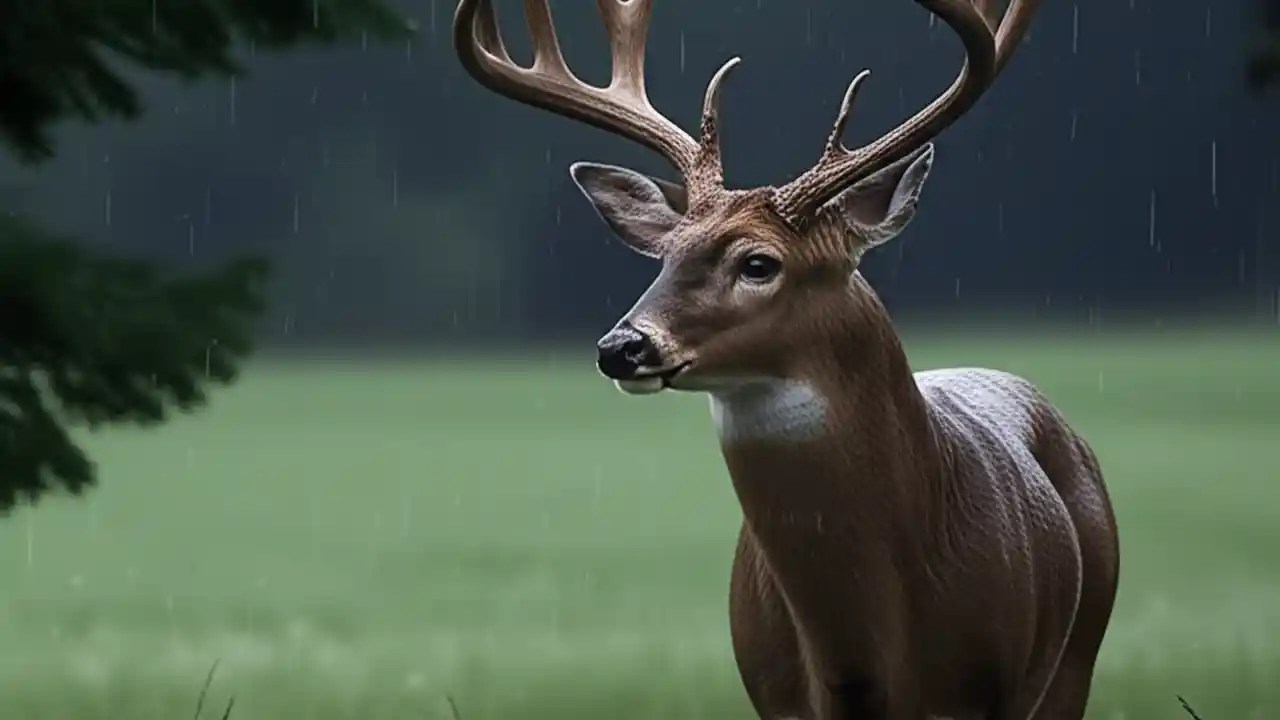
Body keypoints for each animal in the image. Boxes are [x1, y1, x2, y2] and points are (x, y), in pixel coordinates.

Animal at [453, 1, 1120, 718]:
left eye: (758, 263)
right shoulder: (774, 695)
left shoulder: (987, 692)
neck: (862, 656)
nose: (622, 347)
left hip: (1077, 656)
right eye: (665, 257)